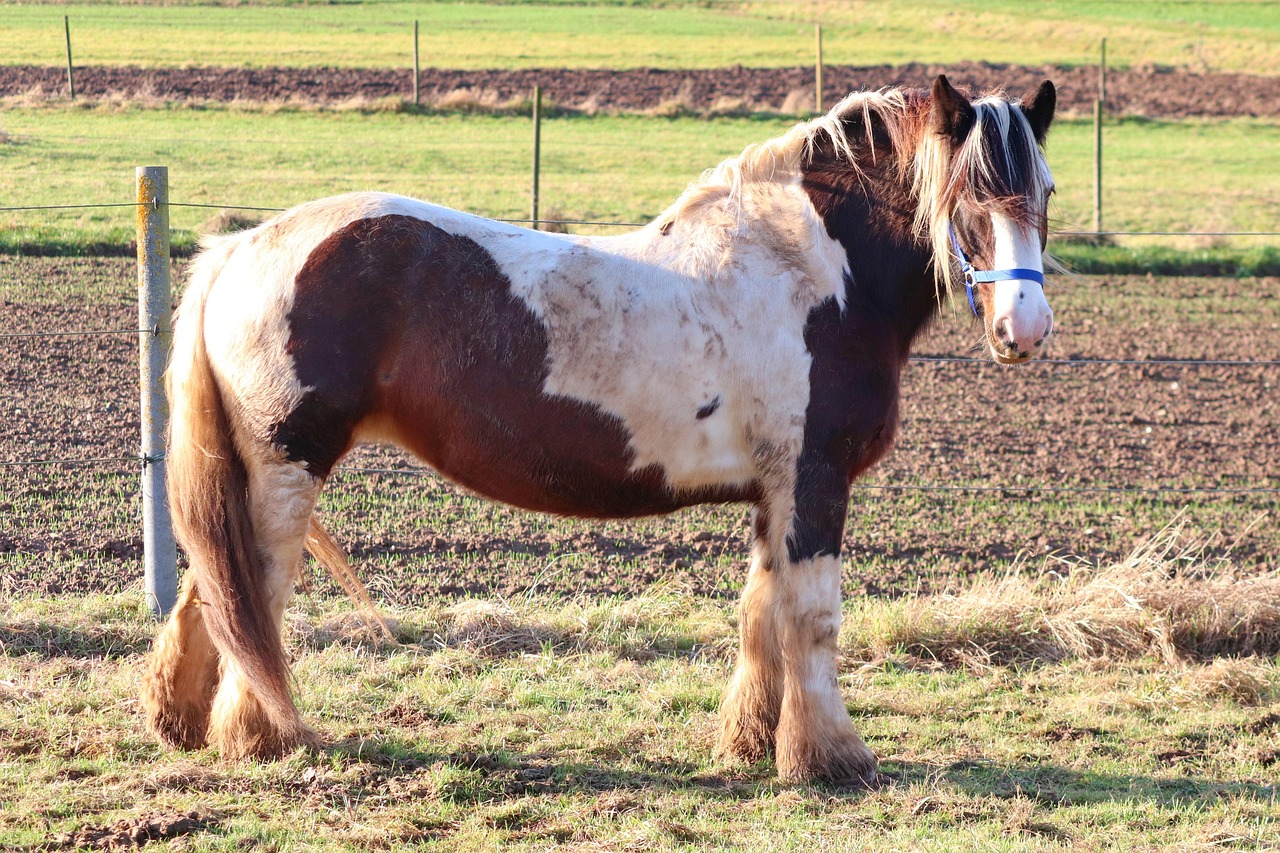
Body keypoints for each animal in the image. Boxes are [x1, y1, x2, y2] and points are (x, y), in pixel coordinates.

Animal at [141, 75, 1056, 786]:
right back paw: (261, 736)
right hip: (285, 467)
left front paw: (751, 743)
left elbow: (761, 613)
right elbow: (811, 617)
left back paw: (180, 723)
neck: (809, 273)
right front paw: (832, 758)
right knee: (254, 591)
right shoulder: (814, 483)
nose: (1026, 327)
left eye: (1044, 194)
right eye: (969, 194)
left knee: (213, 586)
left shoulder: (776, 492)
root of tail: (240, 247)